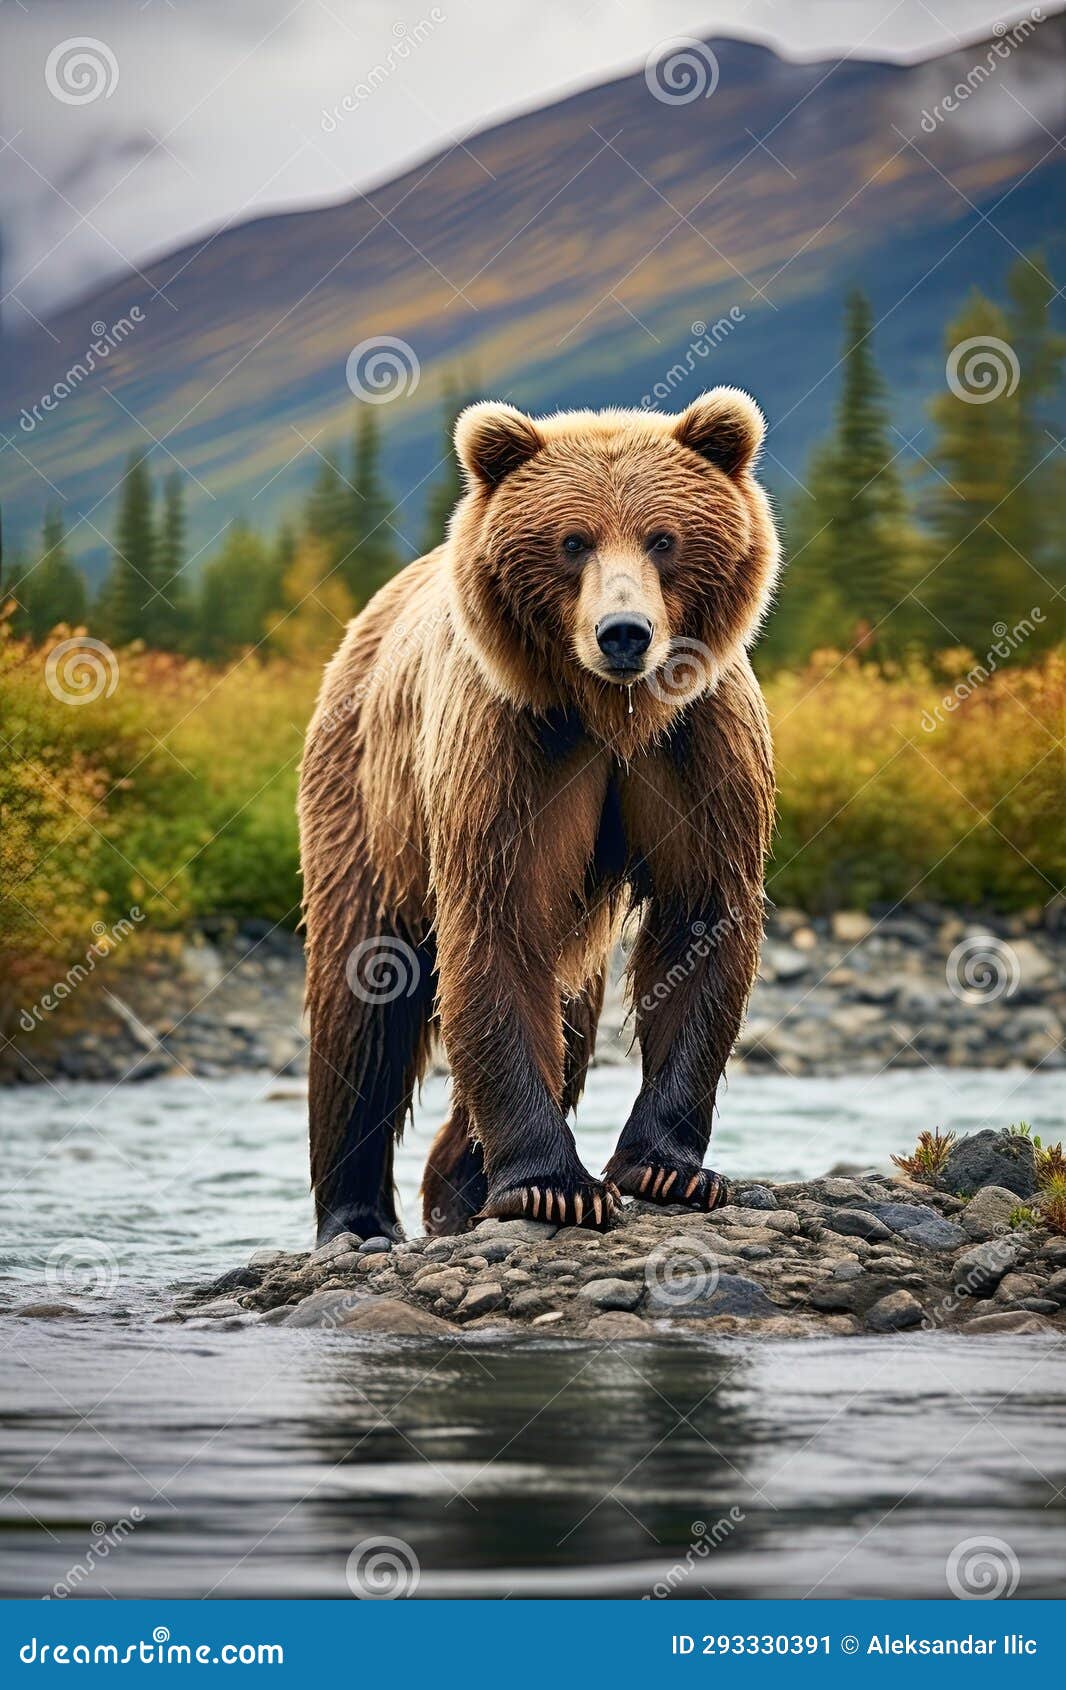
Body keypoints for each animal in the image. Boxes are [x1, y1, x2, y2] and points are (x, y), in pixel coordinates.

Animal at [298, 388, 778, 1243]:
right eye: (572, 541)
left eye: (662, 538)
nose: (624, 633)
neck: (612, 713)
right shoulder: (514, 744)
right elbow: (498, 918)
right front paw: (554, 1186)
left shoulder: (697, 744)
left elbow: (701, 915)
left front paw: (668, 1169)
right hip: (364, 798)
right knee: (362, 1001)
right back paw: (358, 1218)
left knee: (572, 1020)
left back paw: (455, 1183)